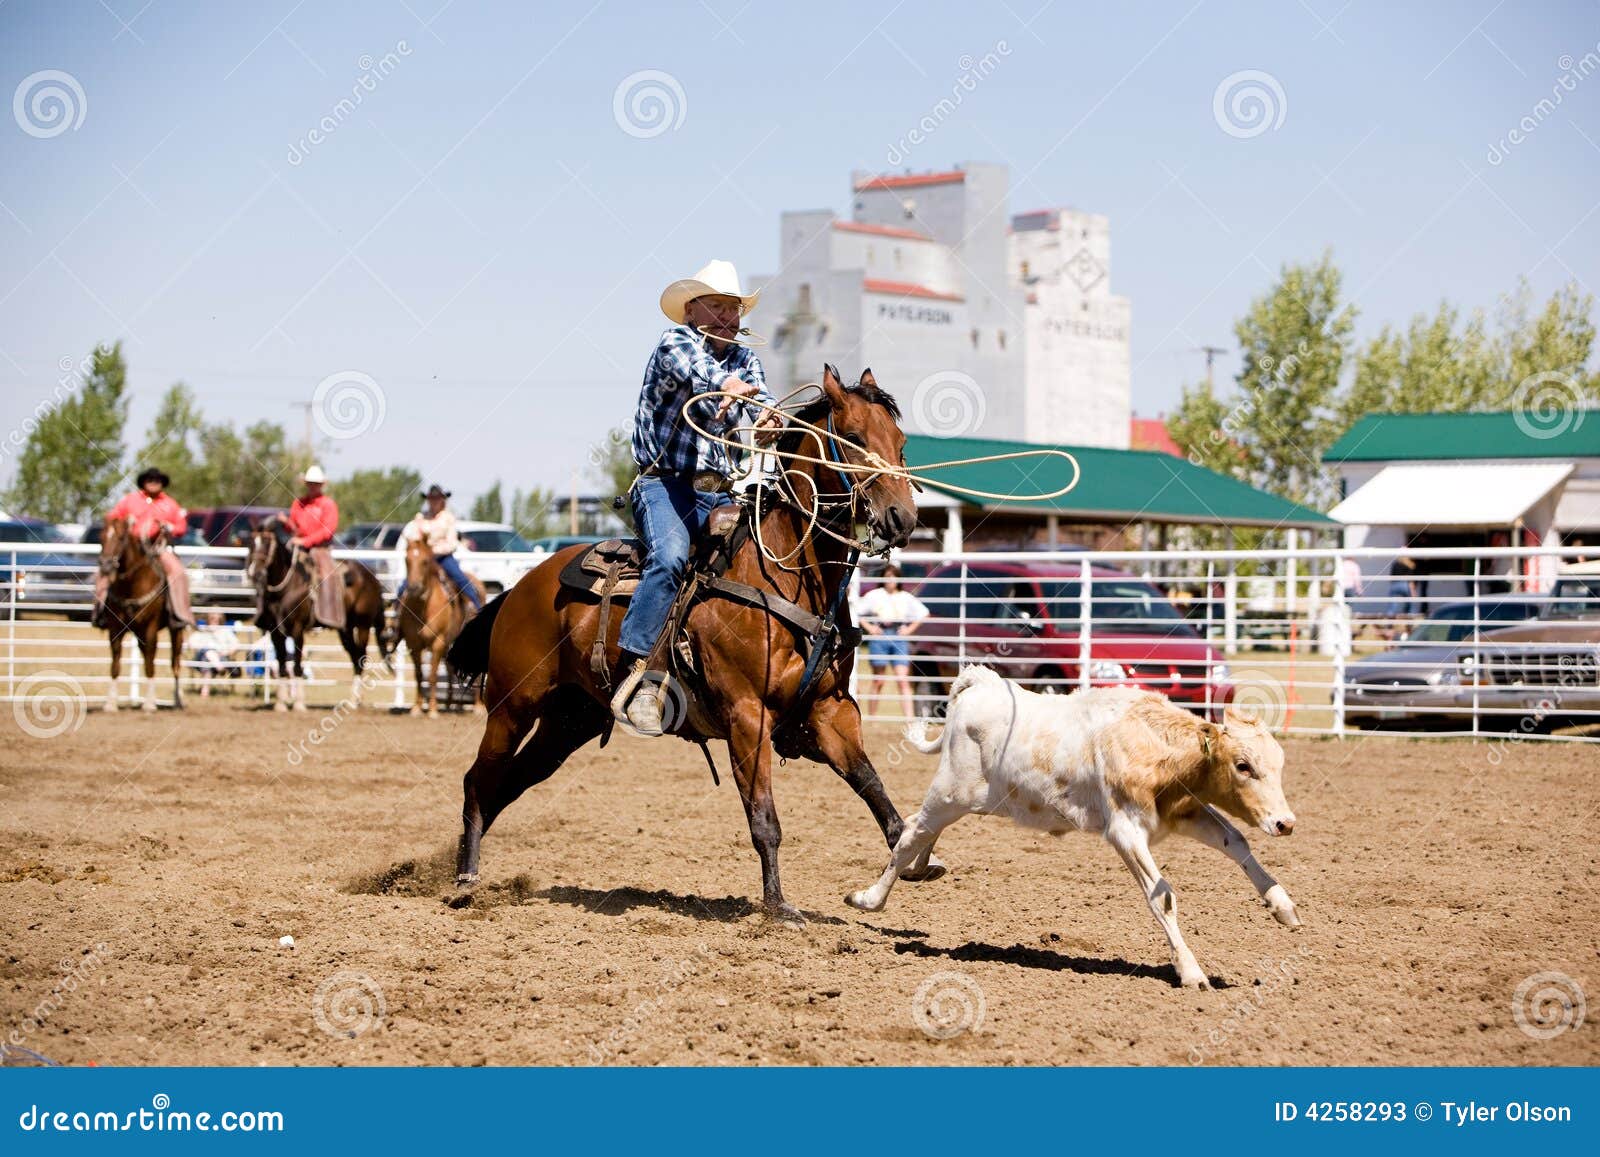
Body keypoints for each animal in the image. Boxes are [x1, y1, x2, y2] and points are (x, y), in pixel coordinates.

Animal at [846, 665, 1301, 989]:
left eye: (1279, 764)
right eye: (1243, 766)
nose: (1285, 823)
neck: (1157, 750)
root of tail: (978, 684)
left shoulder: (1187, 813)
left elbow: (1235, 840)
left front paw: (1283, 906)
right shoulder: (1125, 832)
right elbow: (1164, 898)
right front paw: (1191, 972)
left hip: (959, 801)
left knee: (922, 832)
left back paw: (921, 869)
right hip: (949, 792)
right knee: (910, 834)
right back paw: (868, 899)